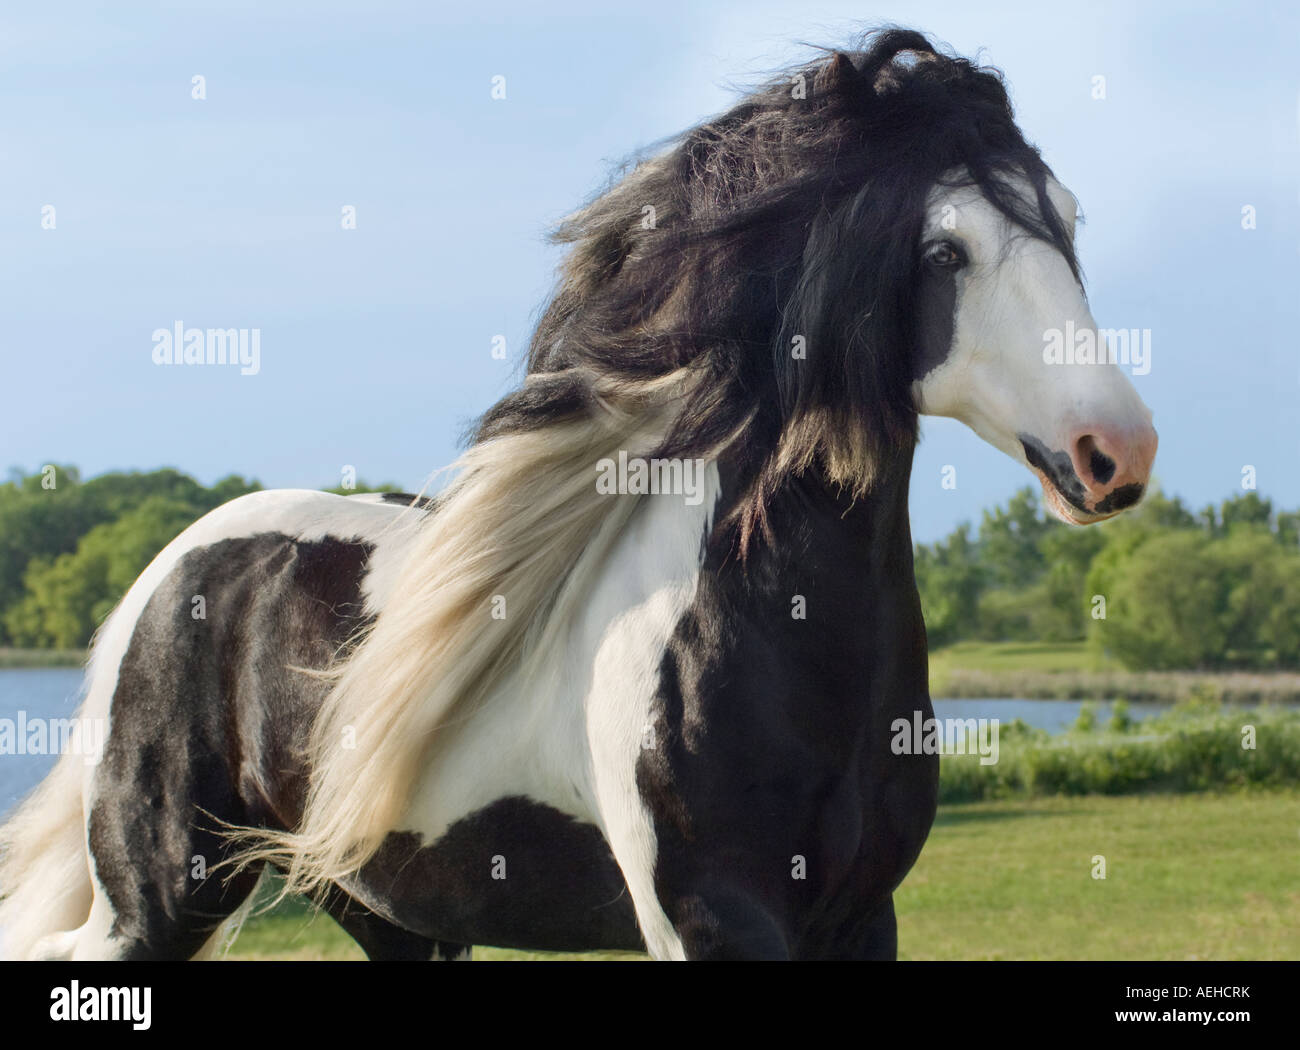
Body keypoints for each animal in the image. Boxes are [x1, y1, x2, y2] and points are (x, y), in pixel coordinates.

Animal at [0, 26, 1159, 961]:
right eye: (943, 251)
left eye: (1068, 218)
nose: (1117, 452)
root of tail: (166, 572)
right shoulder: (710, 917)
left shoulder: (860, 918)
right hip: (159, 898)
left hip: (392, 912)